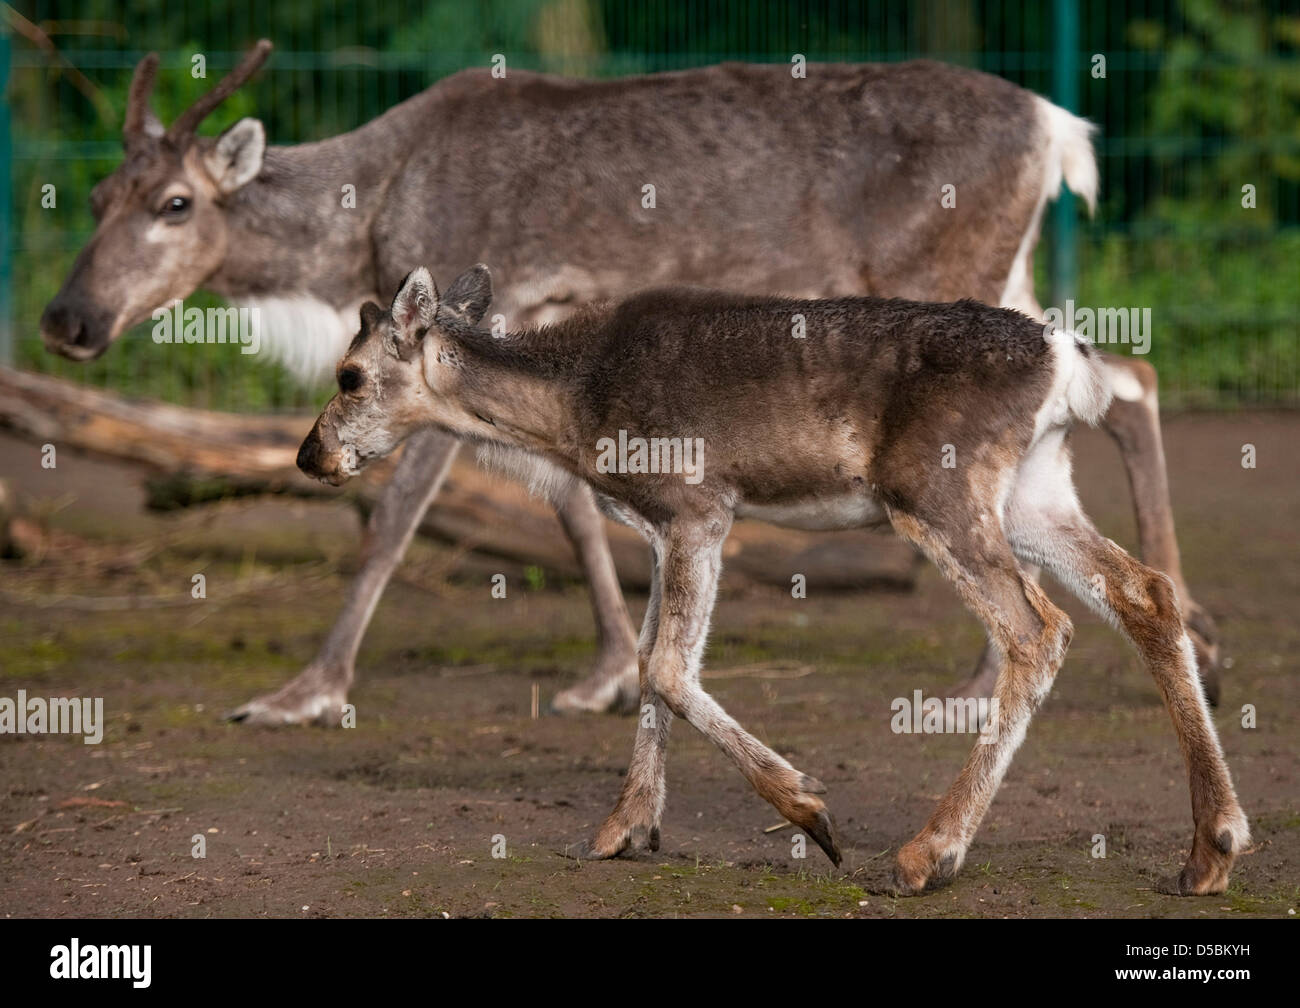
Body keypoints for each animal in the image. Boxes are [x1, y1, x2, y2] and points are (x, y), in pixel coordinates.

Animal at [39, 41, 1222, 726]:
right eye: (96, 193)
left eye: (177, 203)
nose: (67, 319)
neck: (365, 221)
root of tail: (1060, 127)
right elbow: (567, 501)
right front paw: (609, 669)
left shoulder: (469, 307)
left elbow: (396, 515)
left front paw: (306, 692)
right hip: (1005, 281)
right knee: (1127, 376)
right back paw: (1191, 641)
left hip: (955, 271)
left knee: (1094, 395)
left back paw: (1005, 673)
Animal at [295, 263, 1249, 896]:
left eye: (349, 374)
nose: (310, 455)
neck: (572, 413)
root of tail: (1071, 364)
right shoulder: (665, 524)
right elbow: (649, 661)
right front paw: (623, 828)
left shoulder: (696, 503)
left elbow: (666, 667)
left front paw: (809, 811)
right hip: (1033, 490)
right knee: (1144, 592)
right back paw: (1209, 849)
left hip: (935, 486)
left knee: (1036, 628)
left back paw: (923, 856)